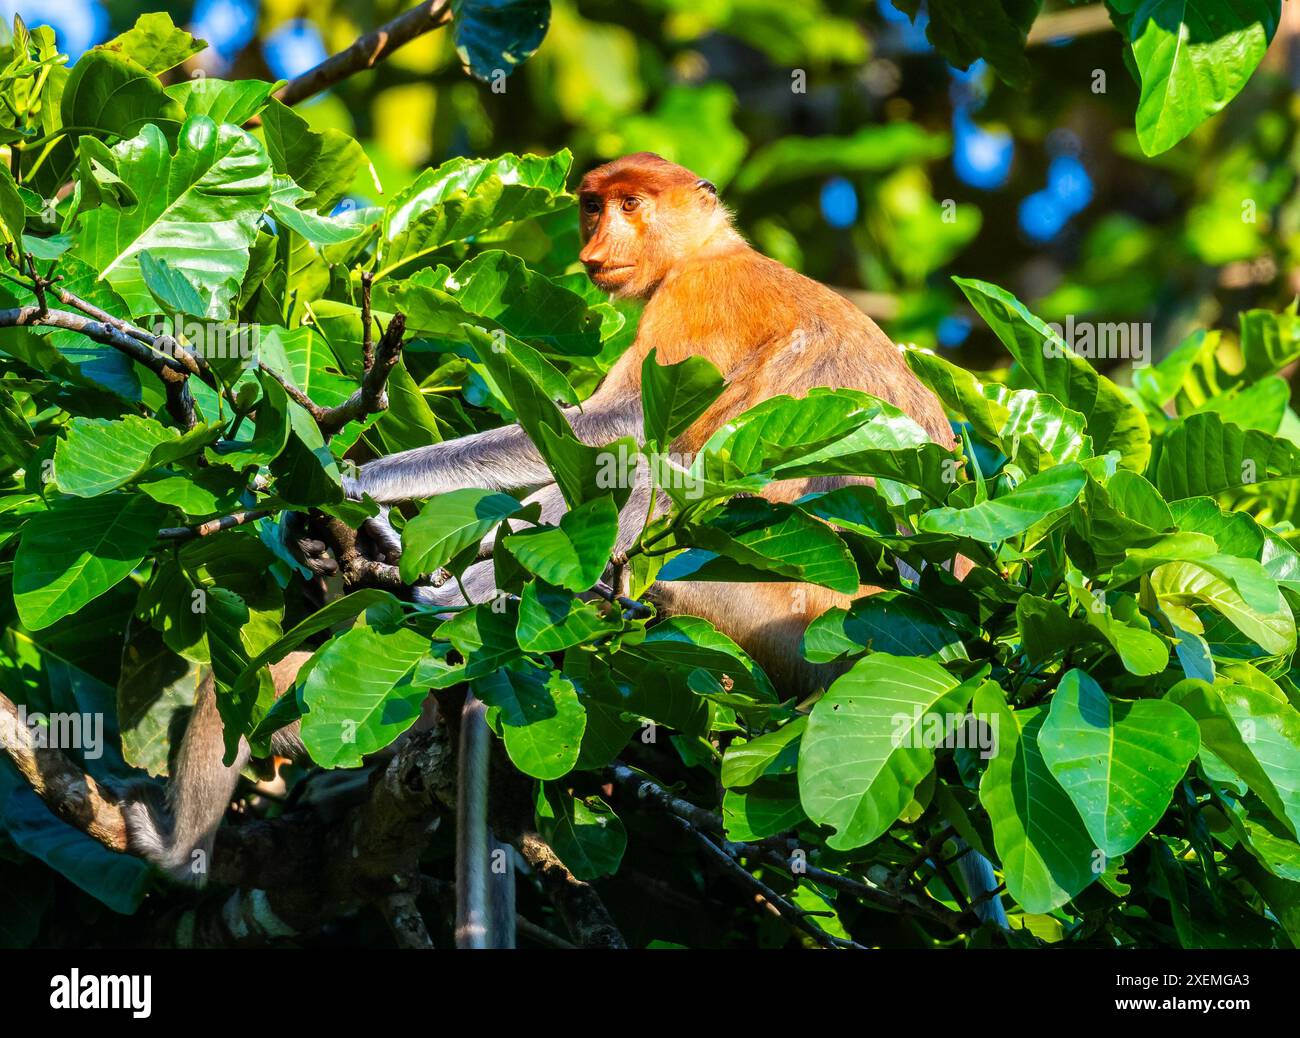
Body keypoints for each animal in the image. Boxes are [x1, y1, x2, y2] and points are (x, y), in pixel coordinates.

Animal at [121, 152, 1008, 938]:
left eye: (633, 204)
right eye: (592, 204)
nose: (595, 245)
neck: (714, 248)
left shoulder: (698, 299)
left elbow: (610, 431)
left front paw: (354, 484)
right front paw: (338, 530)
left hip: (776, 605)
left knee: (658, 474)